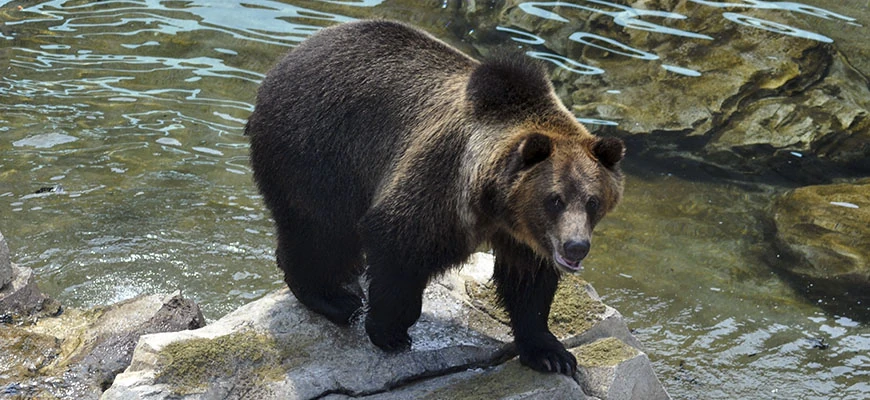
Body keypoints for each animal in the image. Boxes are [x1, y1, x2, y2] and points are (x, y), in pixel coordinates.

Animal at [245, 20, 625, 375]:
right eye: (554, 199)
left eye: (593, 201)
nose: (576, 246)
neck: (494, 206)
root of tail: (286, 60)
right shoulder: (444, 180)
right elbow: (400, 240)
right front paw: (390, 331)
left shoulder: (525, 237)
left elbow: (529, 283)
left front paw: (551, 354)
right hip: (320, 149)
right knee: (321, 230)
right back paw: (334, 298)